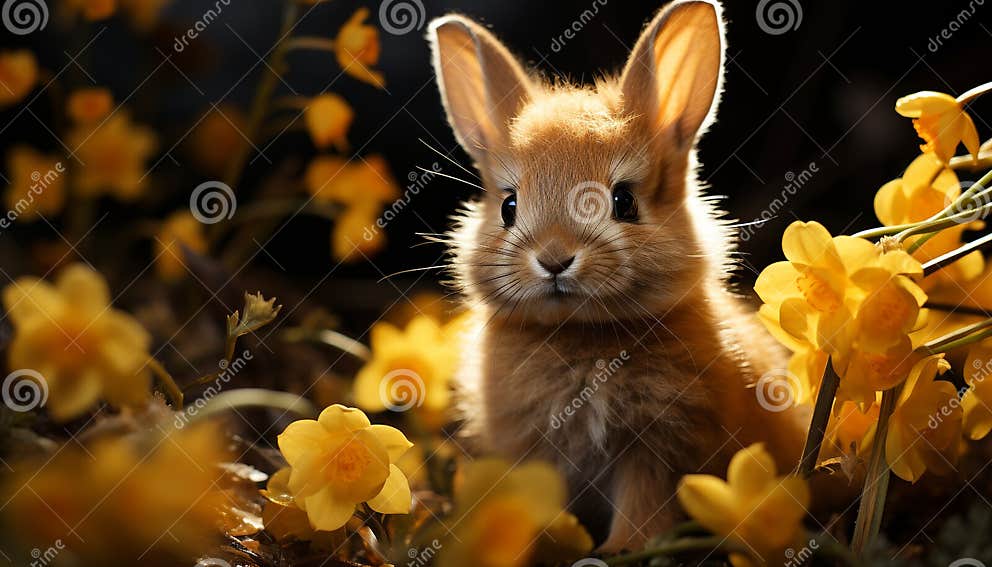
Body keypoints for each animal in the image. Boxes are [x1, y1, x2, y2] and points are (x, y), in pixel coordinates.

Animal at [428, 0, 812, 552]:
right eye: (508, 206)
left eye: (623, 201)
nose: (554, 258)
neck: (582, 333)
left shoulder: (658, 446)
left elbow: (644, 500)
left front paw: (626, 547)